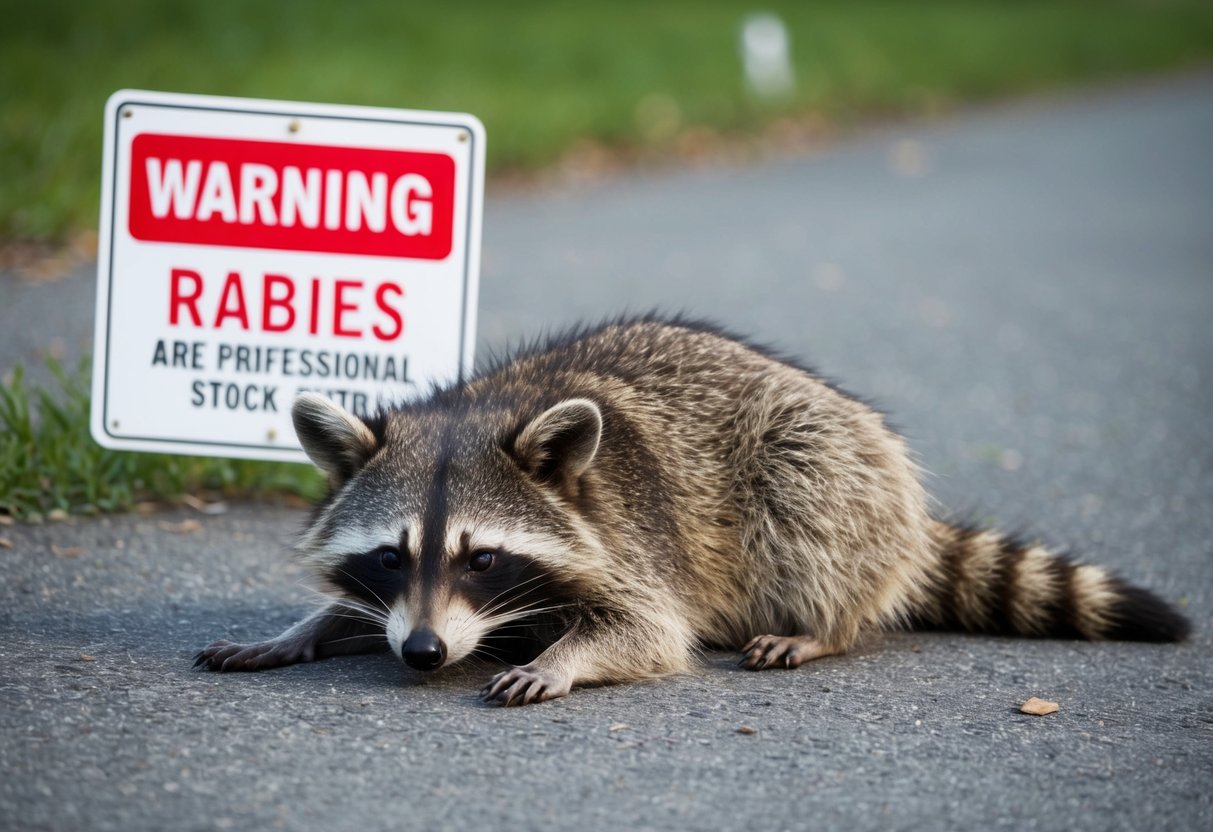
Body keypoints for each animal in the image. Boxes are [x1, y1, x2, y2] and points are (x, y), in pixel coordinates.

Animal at [194, 316, 1190, 706]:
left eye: (482, 558)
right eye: (391, 557)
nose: (424, 653)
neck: (476, 412)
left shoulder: (630, 544)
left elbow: (647, 631)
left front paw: (562, 657)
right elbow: (358, 609)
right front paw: (304, 627)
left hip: (832, 463)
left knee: (805, 499)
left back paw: (823, 624)